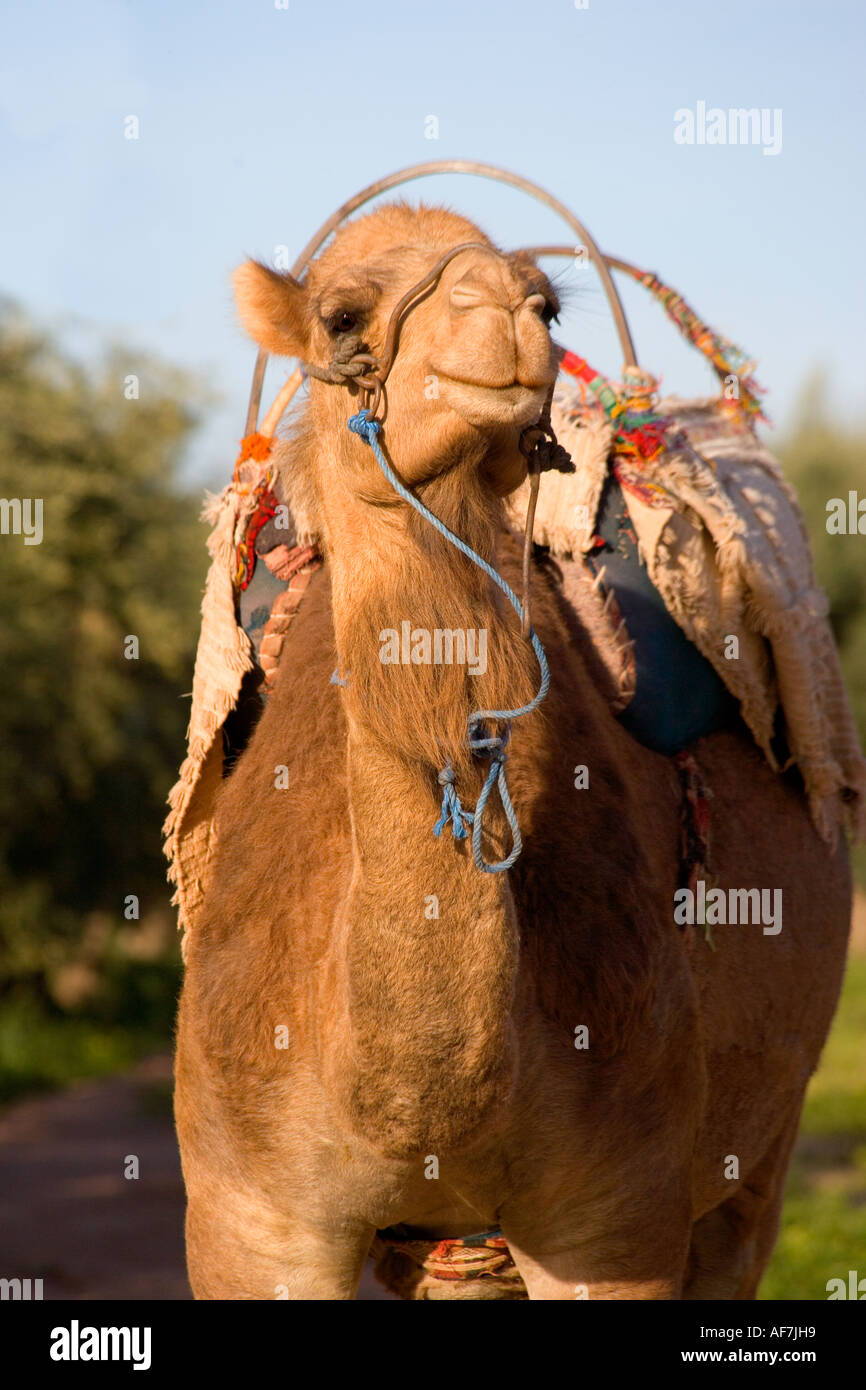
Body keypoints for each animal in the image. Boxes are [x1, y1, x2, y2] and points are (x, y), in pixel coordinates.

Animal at [174, 202, 852, 1299]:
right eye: (340, 314)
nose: (503, 304)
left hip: (762, 1146)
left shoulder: (613, 1221)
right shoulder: (250, 1215)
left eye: (549, 302)